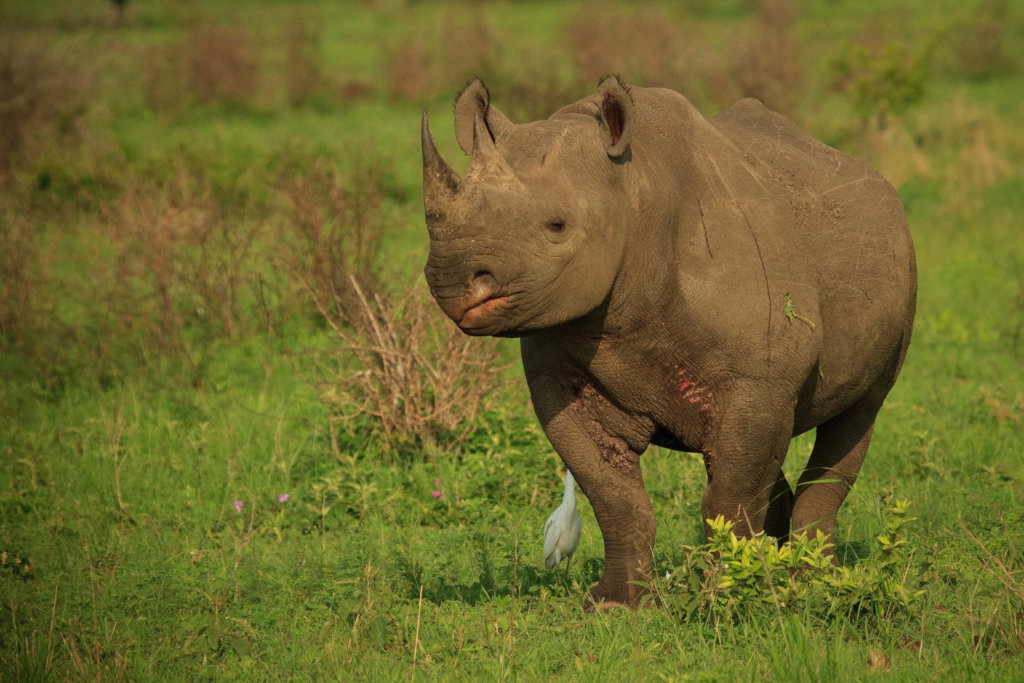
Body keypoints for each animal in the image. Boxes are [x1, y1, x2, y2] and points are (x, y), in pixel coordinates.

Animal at [421, 77, 916, 609]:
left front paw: (729, 596)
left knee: (858, 416)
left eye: (556, 226)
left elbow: (731, 495)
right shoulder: (556, 373)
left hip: (898, 269)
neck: (632, 193)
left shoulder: (757, 380)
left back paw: (815, 580)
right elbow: (615, 496)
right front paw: (617, 605)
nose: (449, 280)